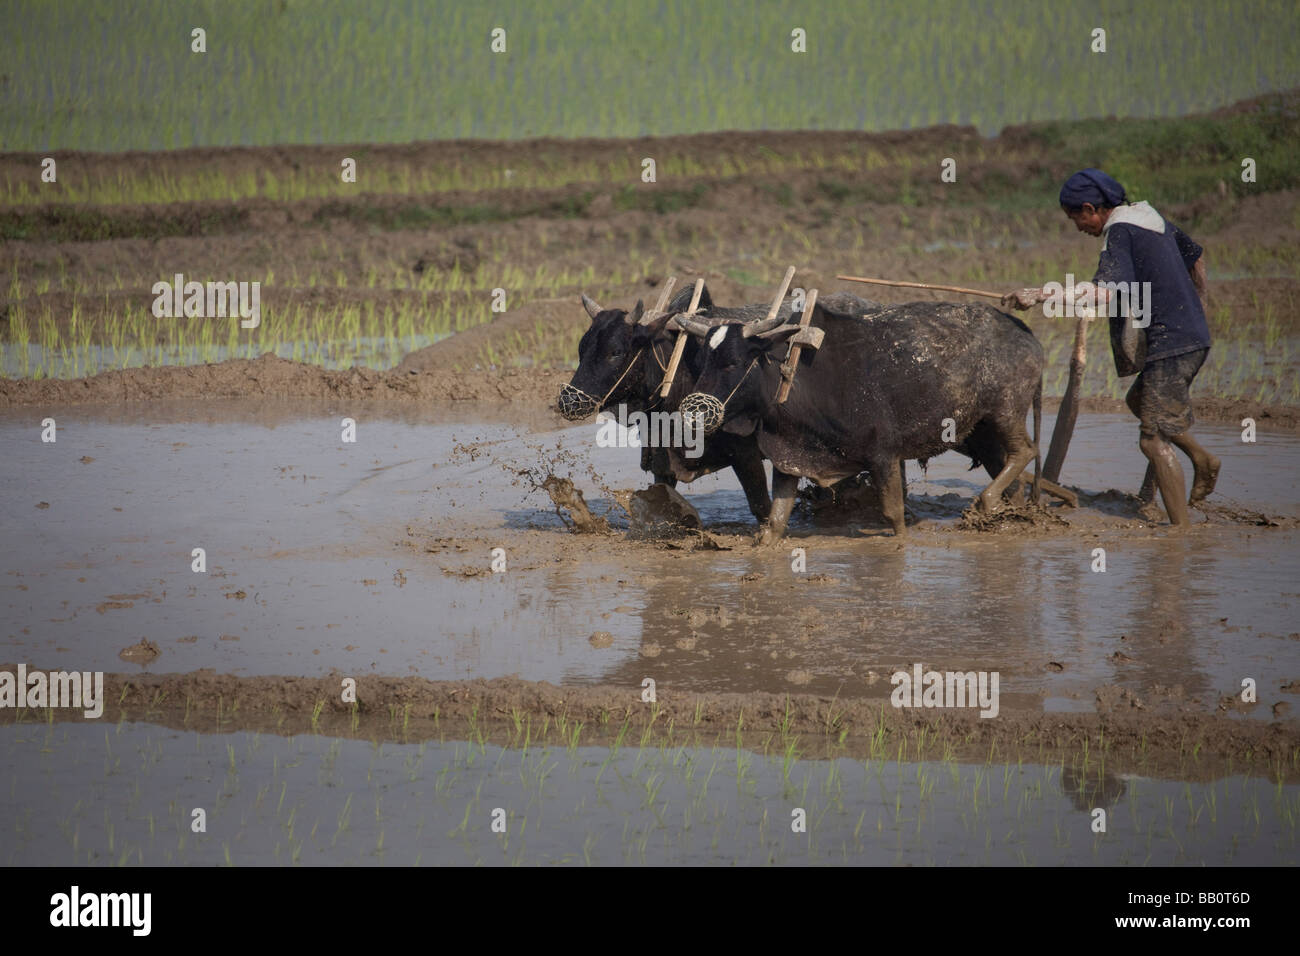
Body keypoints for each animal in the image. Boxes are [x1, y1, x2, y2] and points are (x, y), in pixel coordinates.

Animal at [674, 299, 1075, 544]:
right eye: (701, 361)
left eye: (732, 362)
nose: (692, 412)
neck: (797, 376)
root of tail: (1022, 329)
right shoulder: (791, 458)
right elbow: (775, 522)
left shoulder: (884, 457)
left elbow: (893, 514)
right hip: (984, 429)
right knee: (1012, 472)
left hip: (1005, 411)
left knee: (1025, 451)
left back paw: (986, 503)